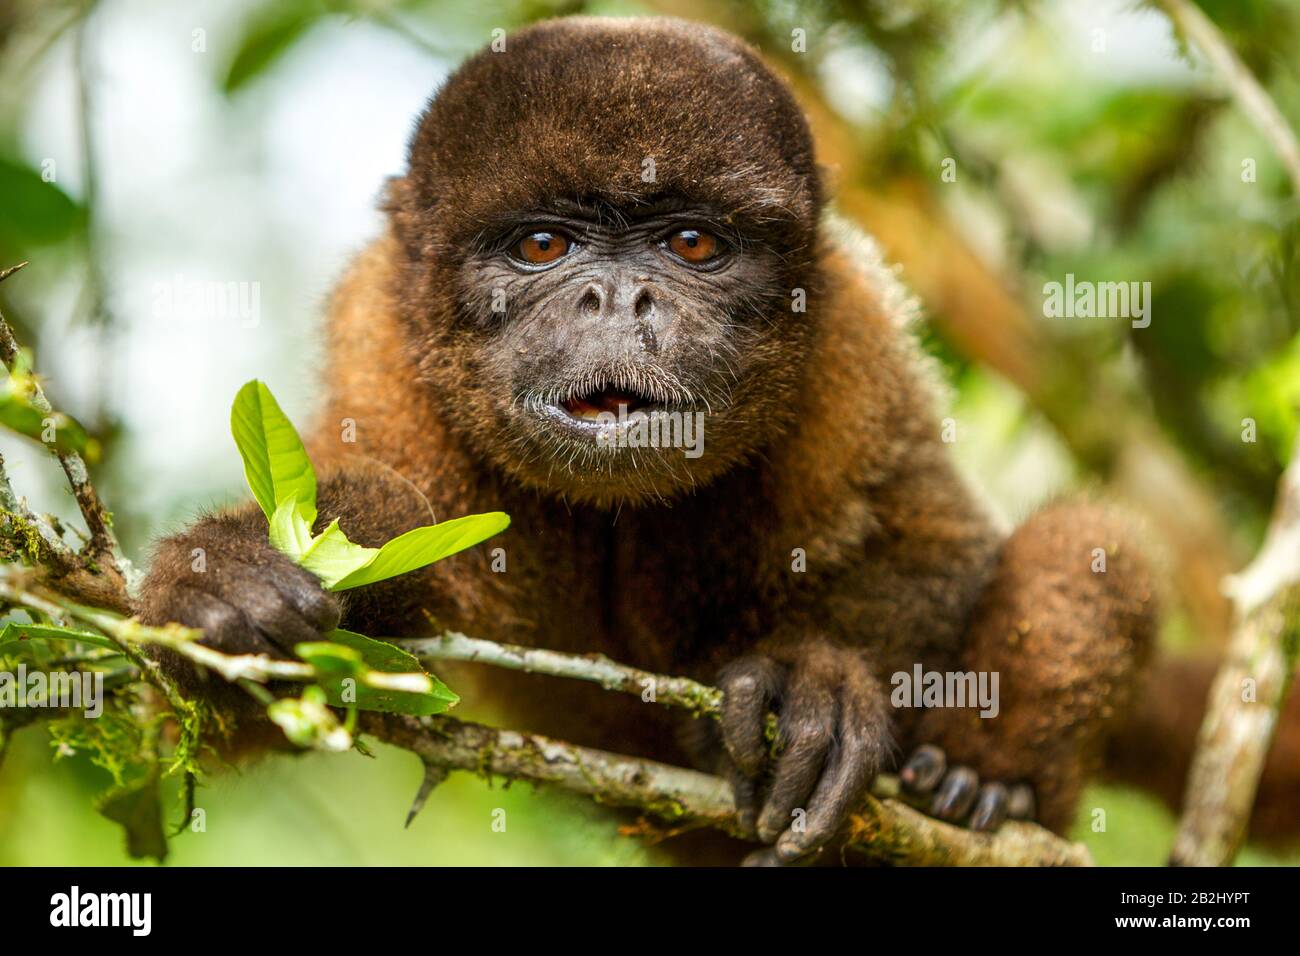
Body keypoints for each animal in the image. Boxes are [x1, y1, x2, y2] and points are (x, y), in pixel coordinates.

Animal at [135, 16, 1294, 866]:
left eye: (692, 243)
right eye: (542, 245)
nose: (619, 295)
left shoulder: (850, 335)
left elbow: (928, 542)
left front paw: (806, 684)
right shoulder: (380, 332)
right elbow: (399, 542)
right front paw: (232, 578)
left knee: (1093, 550)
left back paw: (982, 785)